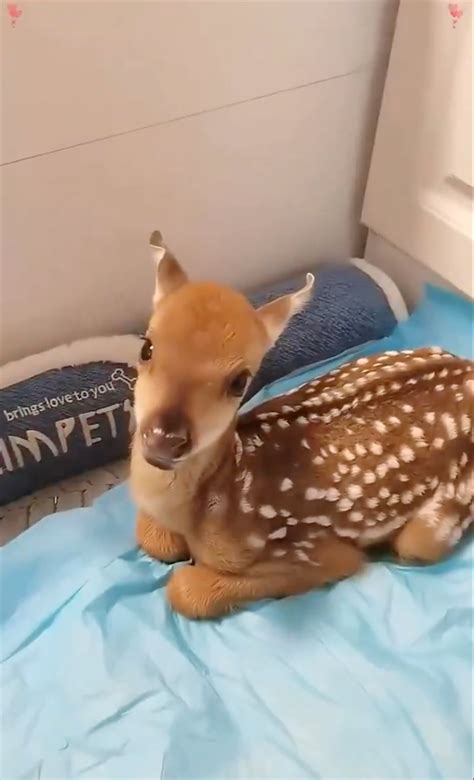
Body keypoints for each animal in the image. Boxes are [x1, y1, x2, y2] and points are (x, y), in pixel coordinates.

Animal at [130, 231, 474, 619]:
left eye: (239, 382)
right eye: (146, 347)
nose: (165, 439)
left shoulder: (314, 552)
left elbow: (184, 590)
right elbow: (153, 539)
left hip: (440, 518)